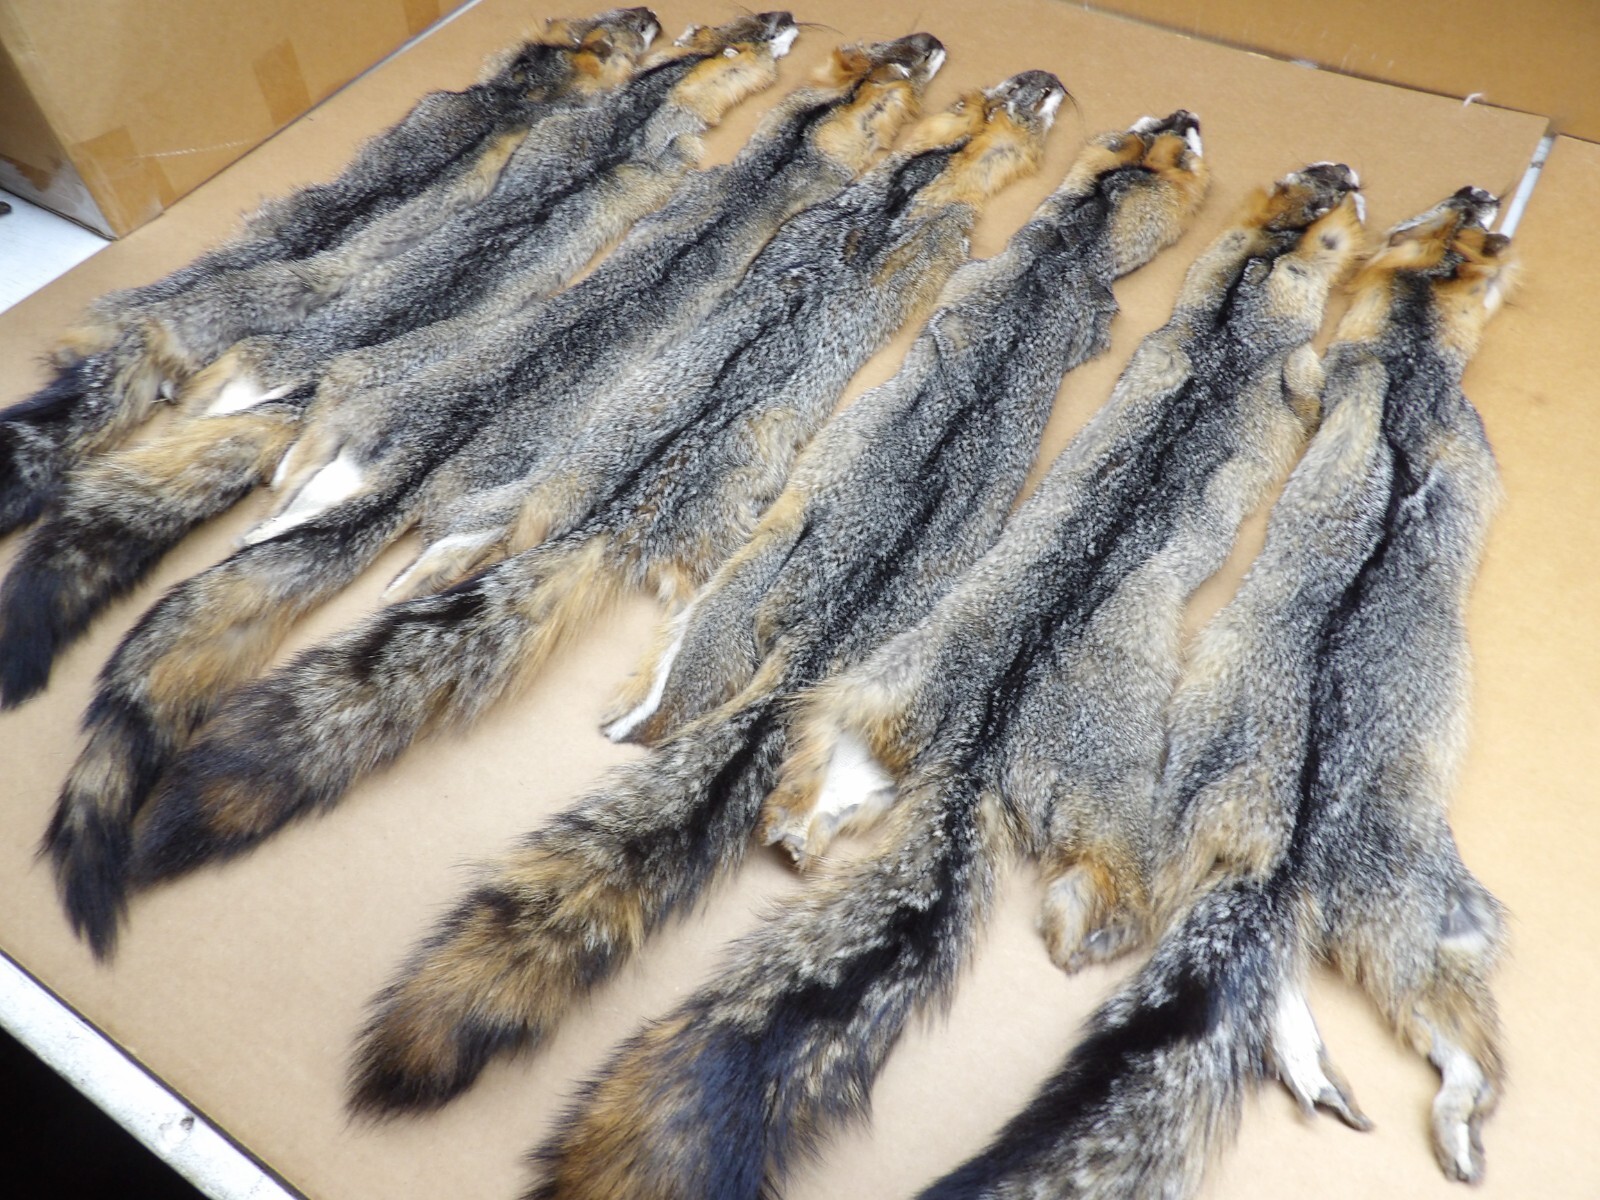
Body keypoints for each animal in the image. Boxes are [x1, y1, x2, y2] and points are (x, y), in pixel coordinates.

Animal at [518, 162, 1363, 1200]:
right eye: (1329, 217)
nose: (1344, 175)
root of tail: (981, 747)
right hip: (1121, 836)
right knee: (1141, 918)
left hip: (814, 676)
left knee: (776, 773)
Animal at [915, 186, 1512, 1200]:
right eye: (1469, 230)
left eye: (1439, 222)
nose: (1481, 194)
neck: (1405, 352)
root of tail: (1293, 840)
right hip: (1425, 933)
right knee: (1465, 1047)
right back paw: (1455, 1124)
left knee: (1270, 1004)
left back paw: (1322, 1078)